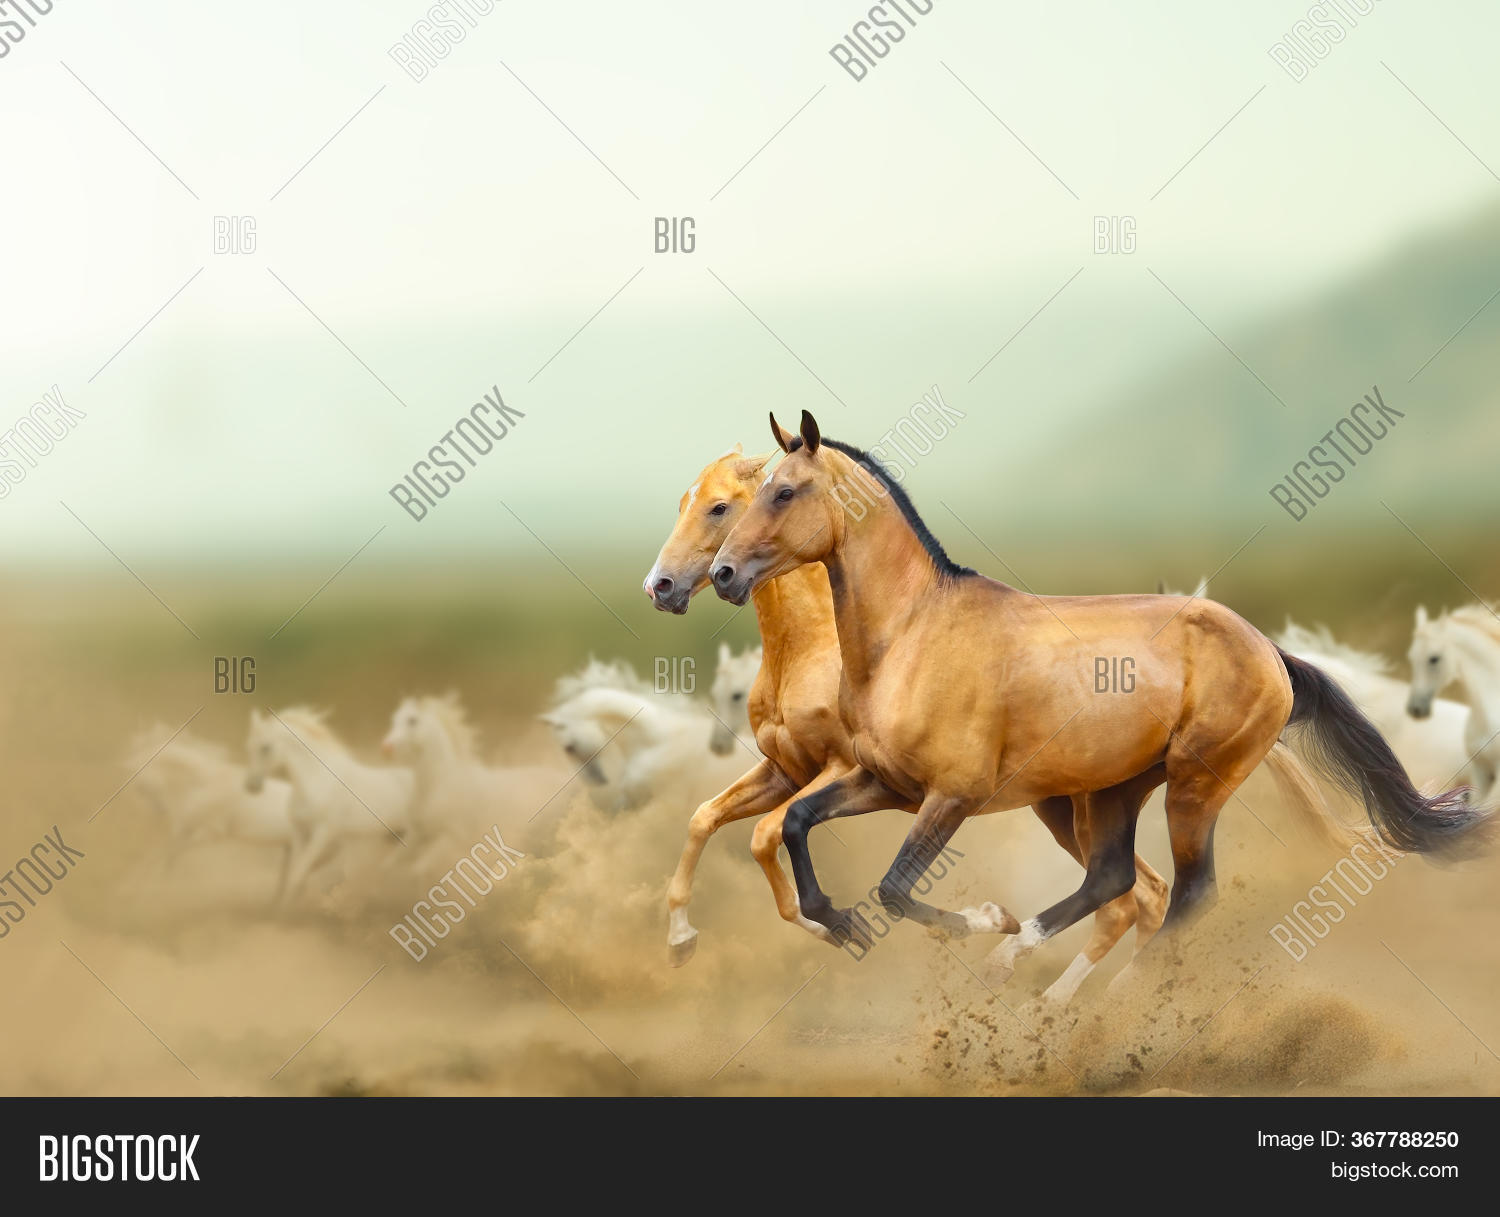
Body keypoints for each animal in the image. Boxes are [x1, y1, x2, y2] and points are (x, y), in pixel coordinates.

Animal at [244, 707, 416, 903]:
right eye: (248, 747)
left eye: (265, 747)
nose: (251, 786)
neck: (316, 781)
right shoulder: (300, 834)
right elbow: (295, 874)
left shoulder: (324, 834)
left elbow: (297, 874)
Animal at [644, 445, 1169, 1004]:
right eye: (683, 502)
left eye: (719, 507)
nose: (661, 586)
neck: (814, 650)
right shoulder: (785, 772)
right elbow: (705, 819)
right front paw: (681, 941)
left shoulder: (840, 768)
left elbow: (766, 837)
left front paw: (842, 927)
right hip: (1061, 811)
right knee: (1139, 897)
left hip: (1077, 811)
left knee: (1131, 897)